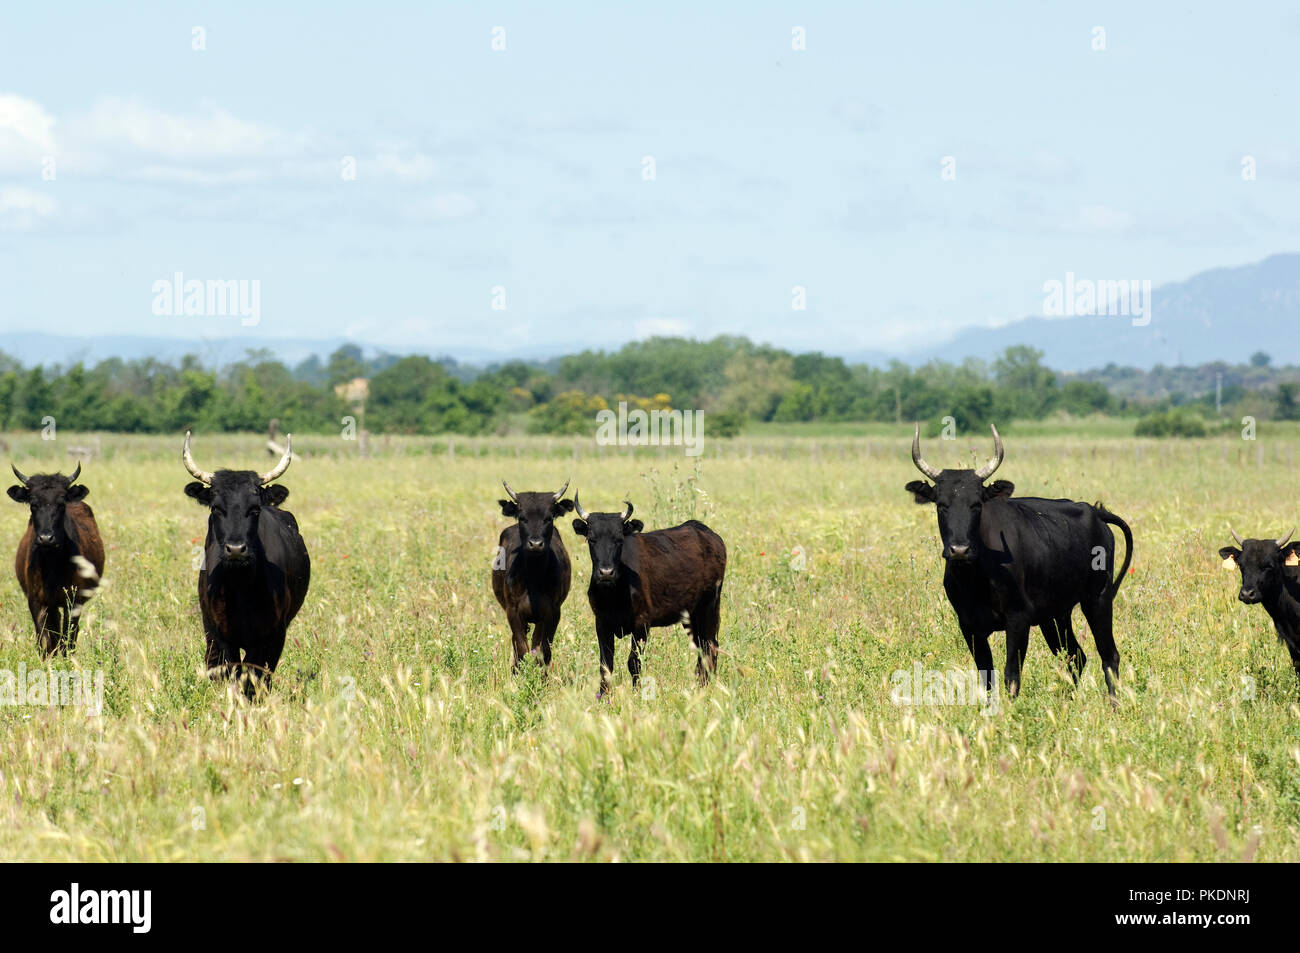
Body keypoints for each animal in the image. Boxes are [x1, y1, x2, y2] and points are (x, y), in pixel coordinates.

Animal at [7, 463, 105, 657]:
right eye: (33, 503)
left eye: (61, 503)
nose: (46, 538)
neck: (51, 565)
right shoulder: (36, 600)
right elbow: (44, 638)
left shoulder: (73, 601)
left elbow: (68, 637)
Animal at [181, 431, 310, 698]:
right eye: (216, 508)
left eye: (255, 509)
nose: (236, 549)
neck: (239, 588)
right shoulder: (220, 634)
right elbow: (232, 672)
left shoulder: (272, 635)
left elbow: (255, 676)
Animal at [491, 478, 575, 670]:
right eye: (523, 517)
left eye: (548, 518)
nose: (535, 544)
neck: (533, 579)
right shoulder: (513, 611)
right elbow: (522, 649)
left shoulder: (552, 612)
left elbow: (543, 651)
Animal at [571, 495, 726, 695]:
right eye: (591, 539)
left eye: (619, 539)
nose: (606, 572)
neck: (614, 594)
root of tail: (708, 534)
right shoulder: (602, 623)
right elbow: (606, 665)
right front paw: (604, 696)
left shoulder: (642, 624)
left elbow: (634, 663)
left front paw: (637, 694)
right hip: (690, 616)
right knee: (701, 646)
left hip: (709, 606)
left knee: (710, 645)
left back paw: (706, 686)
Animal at [905, 424, 1133, 699]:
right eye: (941, 505)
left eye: (976, 505)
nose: (959, 549)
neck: (976, 578)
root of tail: (1095, 511)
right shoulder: (969, 626)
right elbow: (987, 678)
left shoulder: (1019, 619)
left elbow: (1011, 676)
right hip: (1056, 614)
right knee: (1075, 655)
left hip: (1097, 599)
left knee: (1108, 655)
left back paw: (1114, 704)